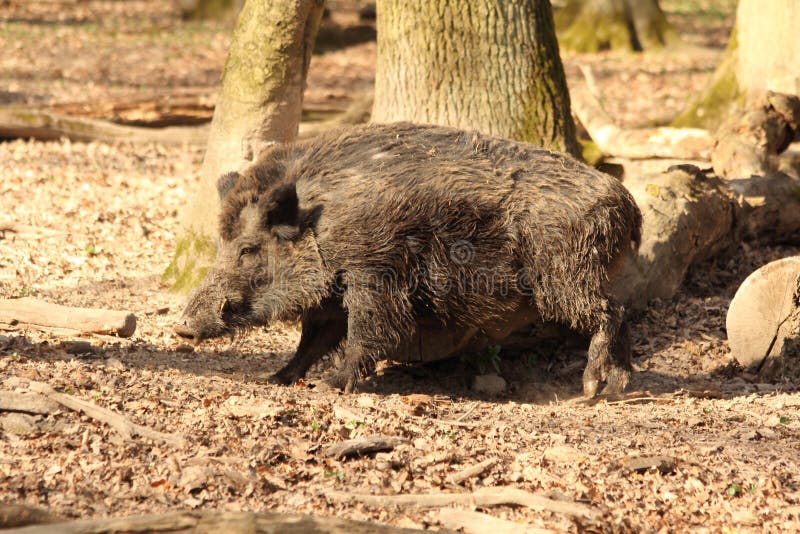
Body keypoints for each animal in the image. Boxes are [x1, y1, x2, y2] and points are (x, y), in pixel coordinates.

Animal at [174, 122, 642, 397]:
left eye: (248, 249)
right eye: (221, 244)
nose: (182, 326)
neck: (321, 221)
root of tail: (626, 203)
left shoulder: (372, 273)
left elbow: (368, 332)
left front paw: (330, 385)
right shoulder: (332, 292)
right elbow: (312, 340)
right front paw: (275, 378)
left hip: (565, 275)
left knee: (611, 312)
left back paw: (591, 388)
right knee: (618, 312)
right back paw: (617, 386)